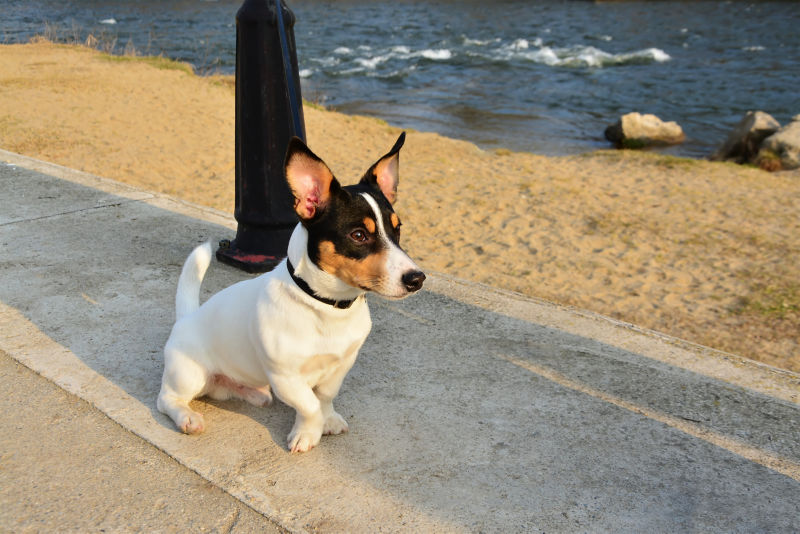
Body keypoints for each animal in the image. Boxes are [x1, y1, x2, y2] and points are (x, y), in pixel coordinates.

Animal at [159, 133, 428, 452]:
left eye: (397, 229)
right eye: (359, 235)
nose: (417, 279)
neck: (325, 306)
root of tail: (187, 317)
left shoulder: (341, 365)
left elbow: (324, 396)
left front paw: (328, 419)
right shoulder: (285, 377)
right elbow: (309, 405)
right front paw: (307, 433)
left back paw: (254, 393)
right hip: (189, 374)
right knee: (166, 399)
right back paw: (187, 417)